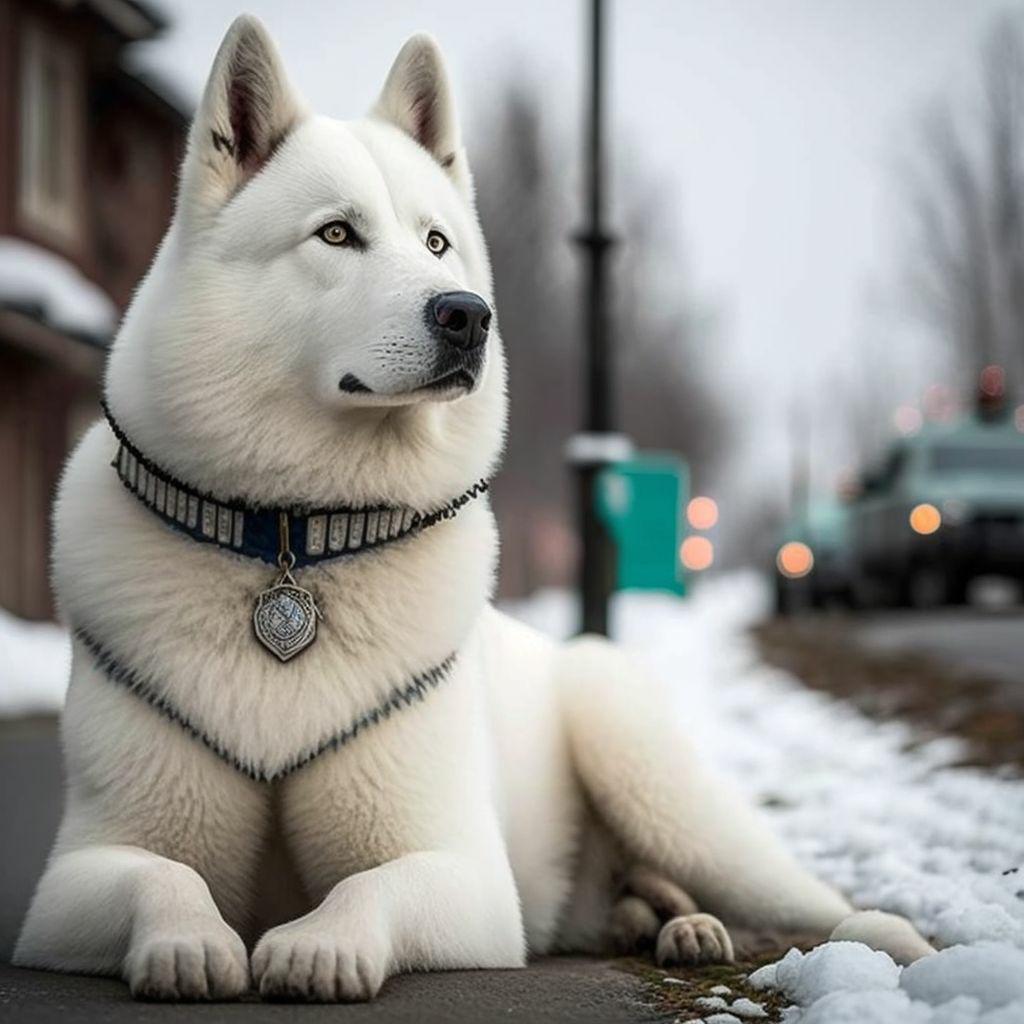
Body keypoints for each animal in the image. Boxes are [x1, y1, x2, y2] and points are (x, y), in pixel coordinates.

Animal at [14, 16, 937, 1003]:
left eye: (436, 244)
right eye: (335, 234)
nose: (467, 315)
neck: (295, 535)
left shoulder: (460, 869)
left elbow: (369, 887)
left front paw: (317, 946)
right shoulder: (77, 874)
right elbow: (164, 874)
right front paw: (188, 942)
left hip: (647, 766)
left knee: (796, 893)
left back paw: (865, 937)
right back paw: (662, 922)